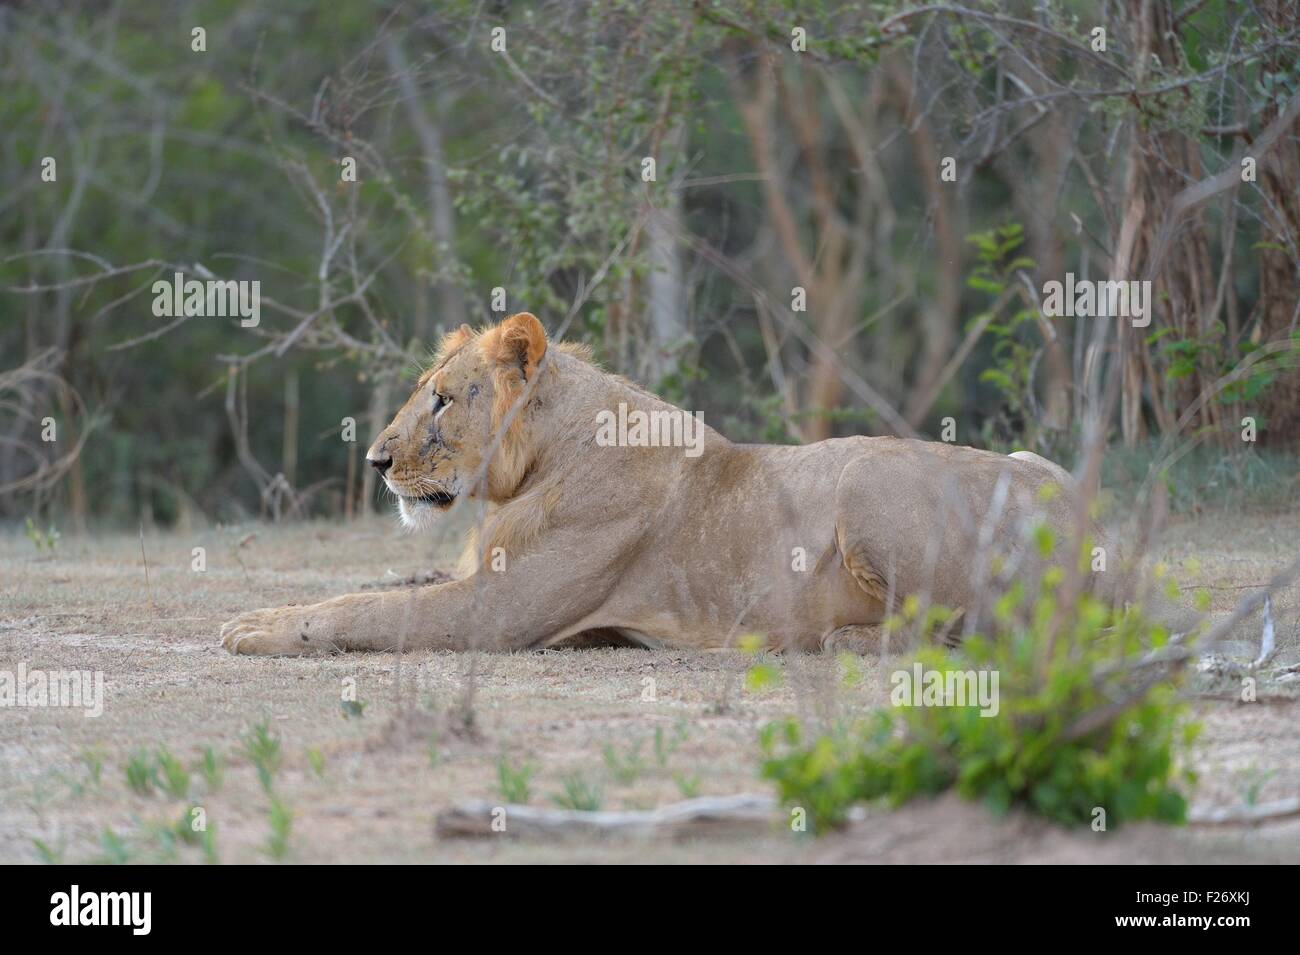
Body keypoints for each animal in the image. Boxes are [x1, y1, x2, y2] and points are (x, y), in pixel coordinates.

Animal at [221, 311, 1097, 655]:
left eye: (441, 397)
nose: (375, 460)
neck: (533, 465)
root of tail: (1104, 546)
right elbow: (371, 588)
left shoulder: (498, 612)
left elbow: (370, 608)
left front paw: (254, 626)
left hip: (864, 474)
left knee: (981, 630)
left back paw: (842, 638)